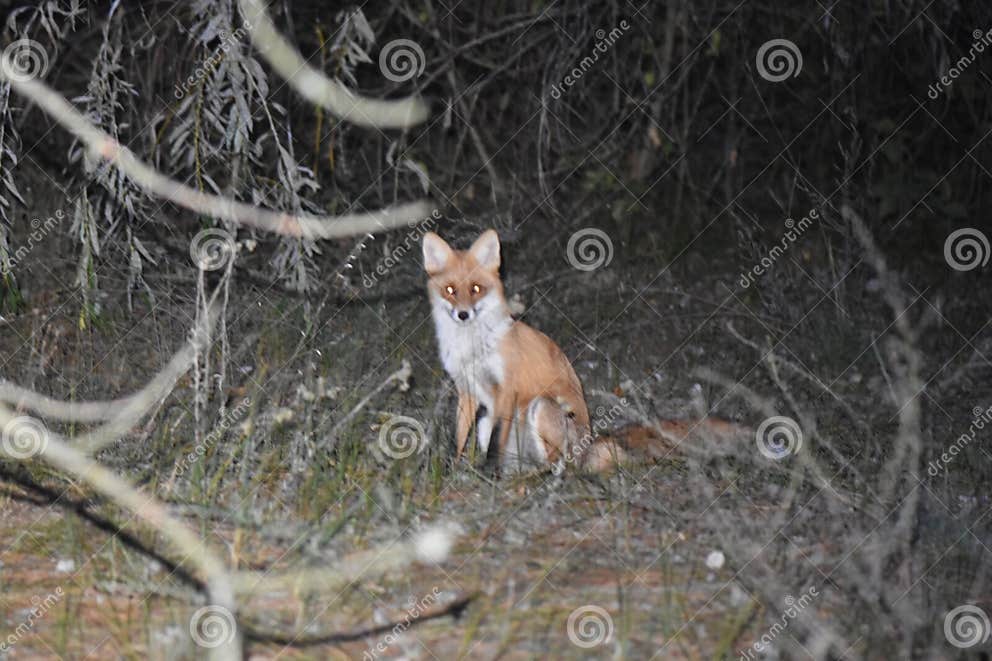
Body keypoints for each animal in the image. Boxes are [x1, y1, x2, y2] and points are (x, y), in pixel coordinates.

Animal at [422, 229, 746, 472]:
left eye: (476, 289)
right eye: (450, 290)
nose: (463, 314)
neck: (470, 346)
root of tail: (591, 442)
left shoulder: (506, 389)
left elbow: (492, 449)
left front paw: (487, 475)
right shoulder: (467, 390)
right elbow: (458, 438)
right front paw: (453, 471)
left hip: (542, 406)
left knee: (561, 465)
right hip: (487, 419)